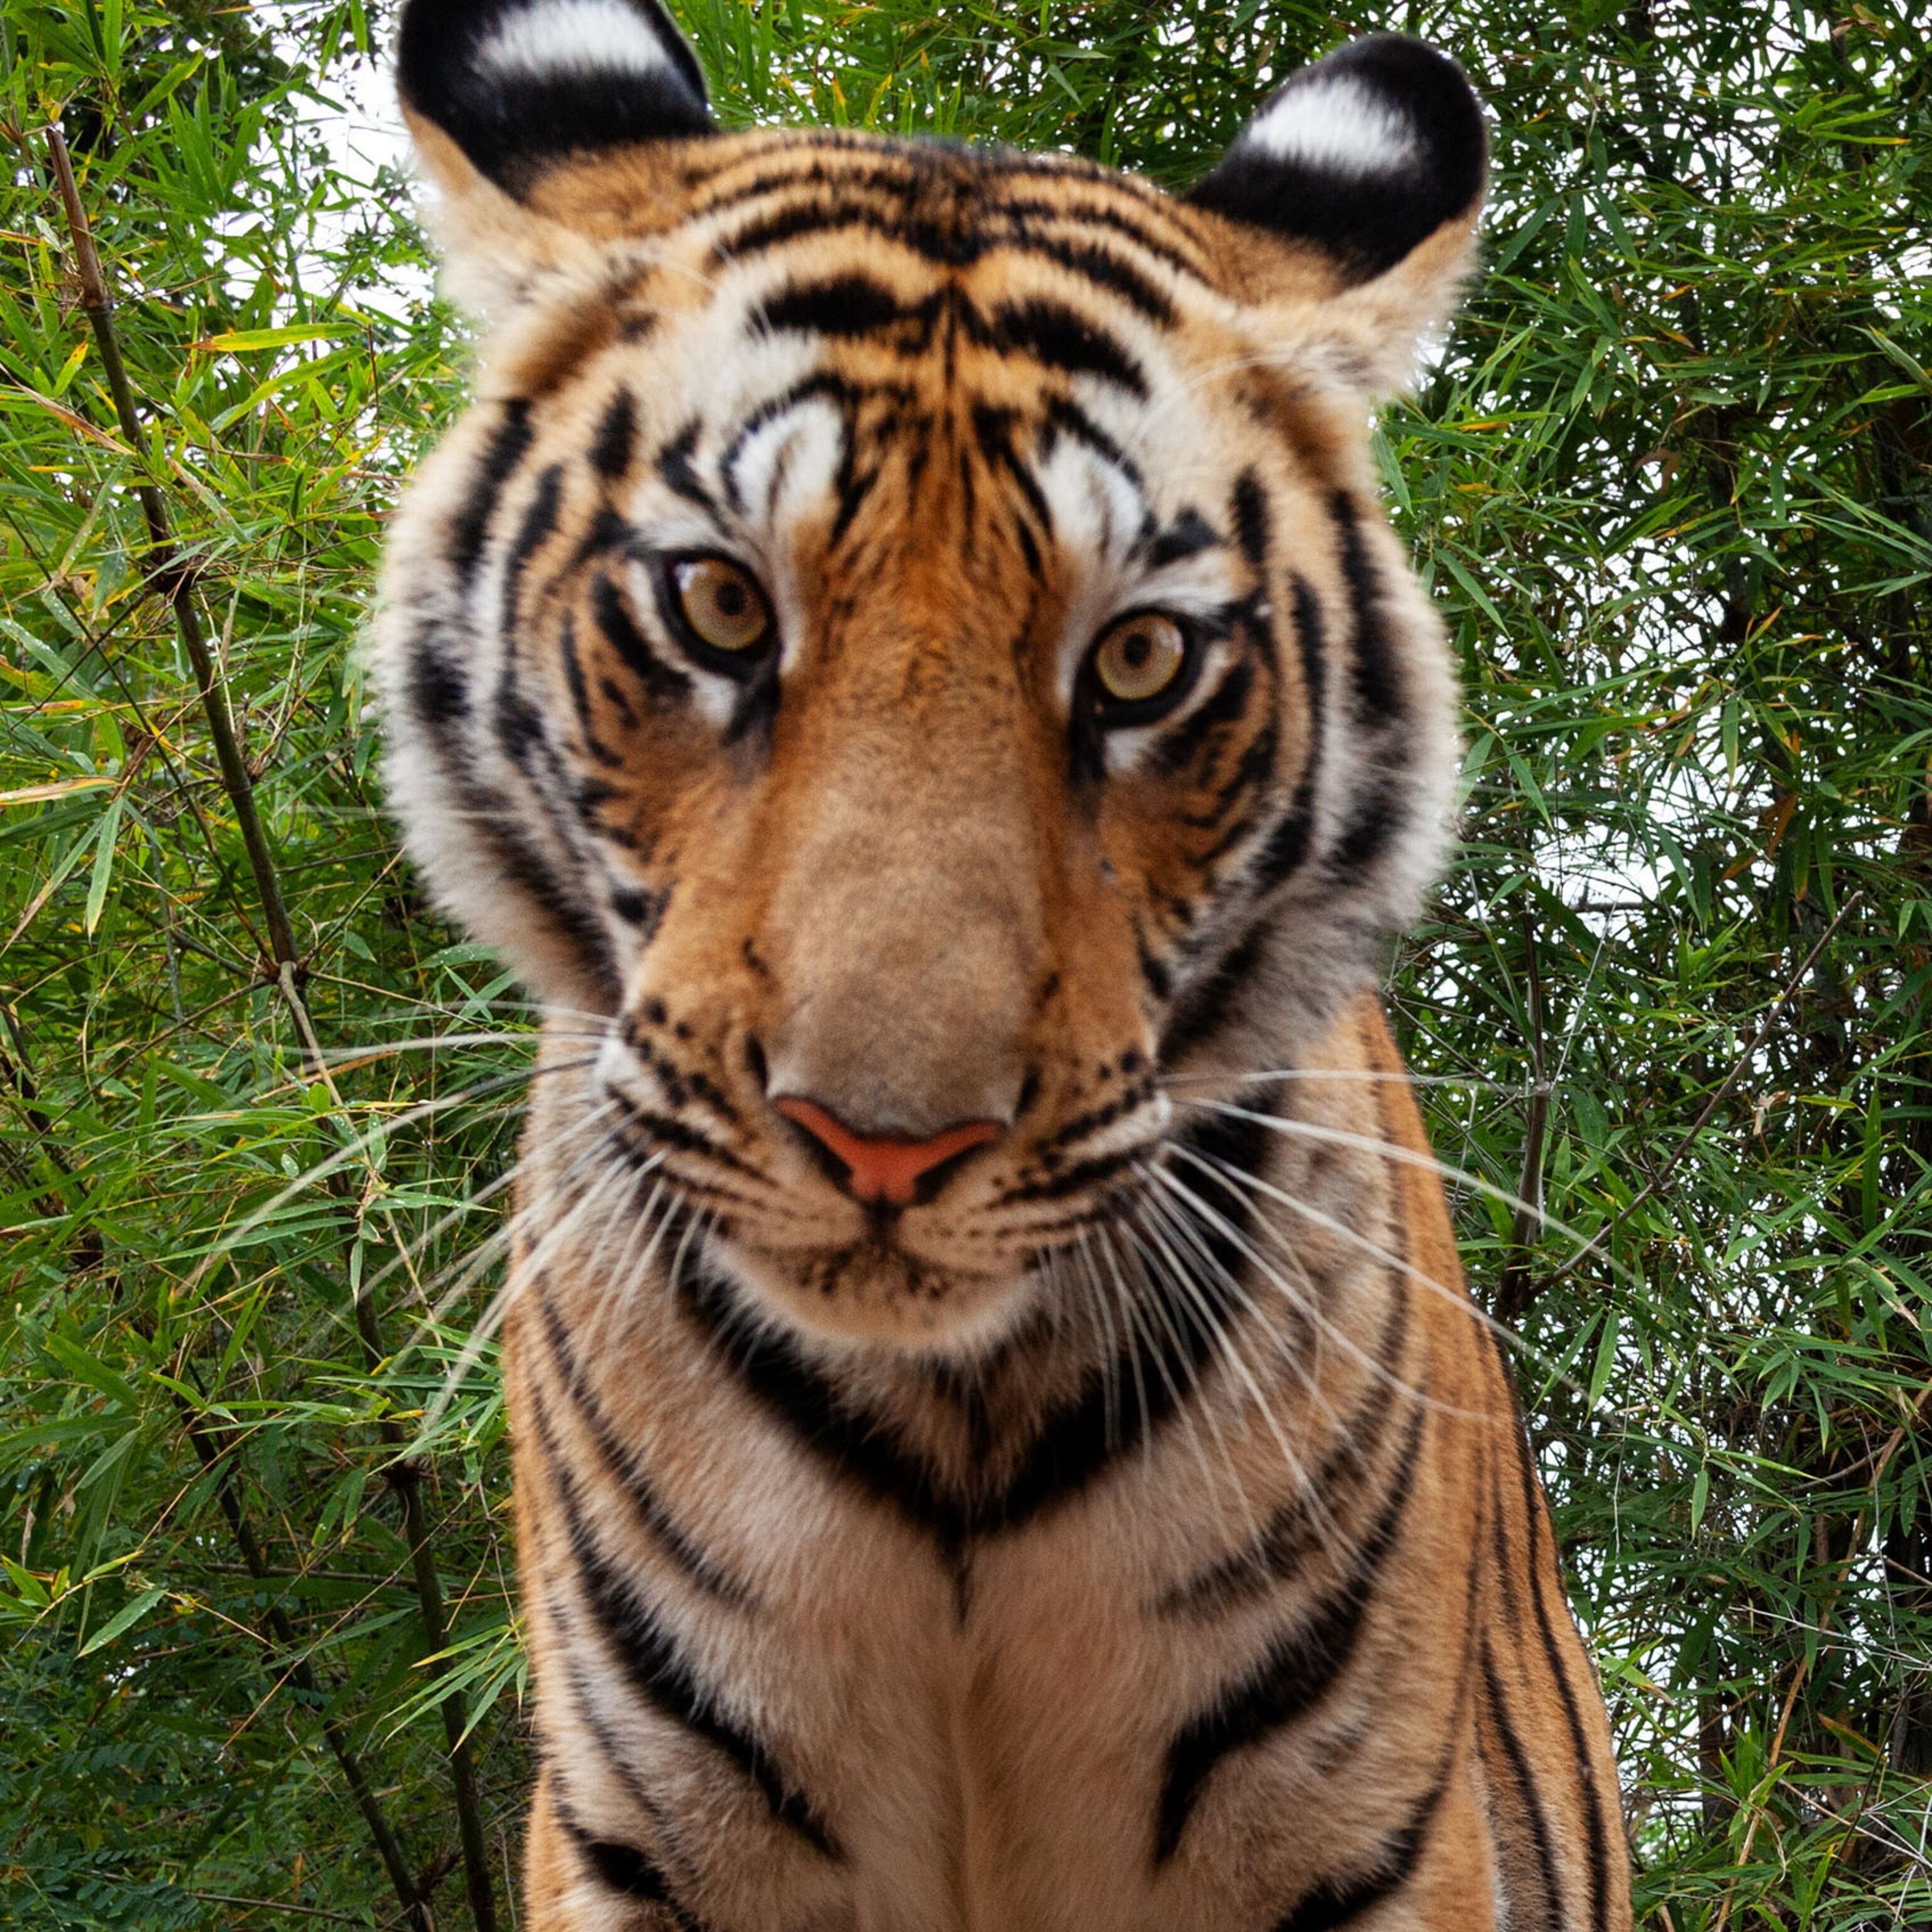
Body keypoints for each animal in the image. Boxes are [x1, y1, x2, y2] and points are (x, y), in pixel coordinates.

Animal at [372, 2, 1633, 1927]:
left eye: (1136, 661)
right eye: (721, 607)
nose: (885, 1146)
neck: (947, 1430)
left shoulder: (1361, 1836)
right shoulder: (651, 1828)